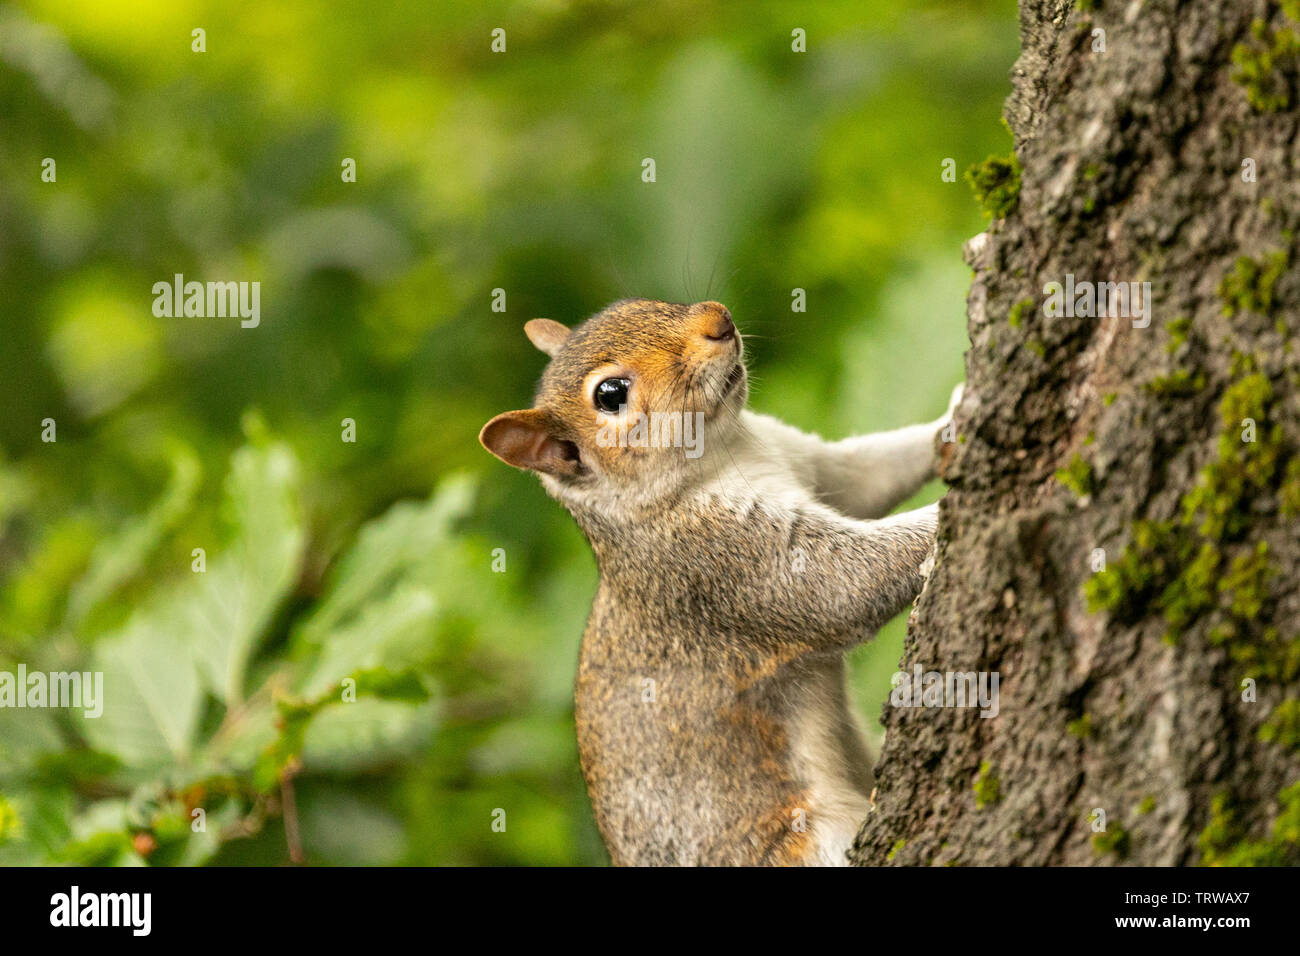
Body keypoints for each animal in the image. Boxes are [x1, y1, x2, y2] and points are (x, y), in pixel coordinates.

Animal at [480, 298, 961, 866]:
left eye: (638, 305)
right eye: (610, 395)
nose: (718, 318)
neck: (727, 451)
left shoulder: (809, 464)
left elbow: (867, 472)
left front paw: (957, 419)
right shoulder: (723, 560)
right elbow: (838, 587)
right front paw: (942, 512)